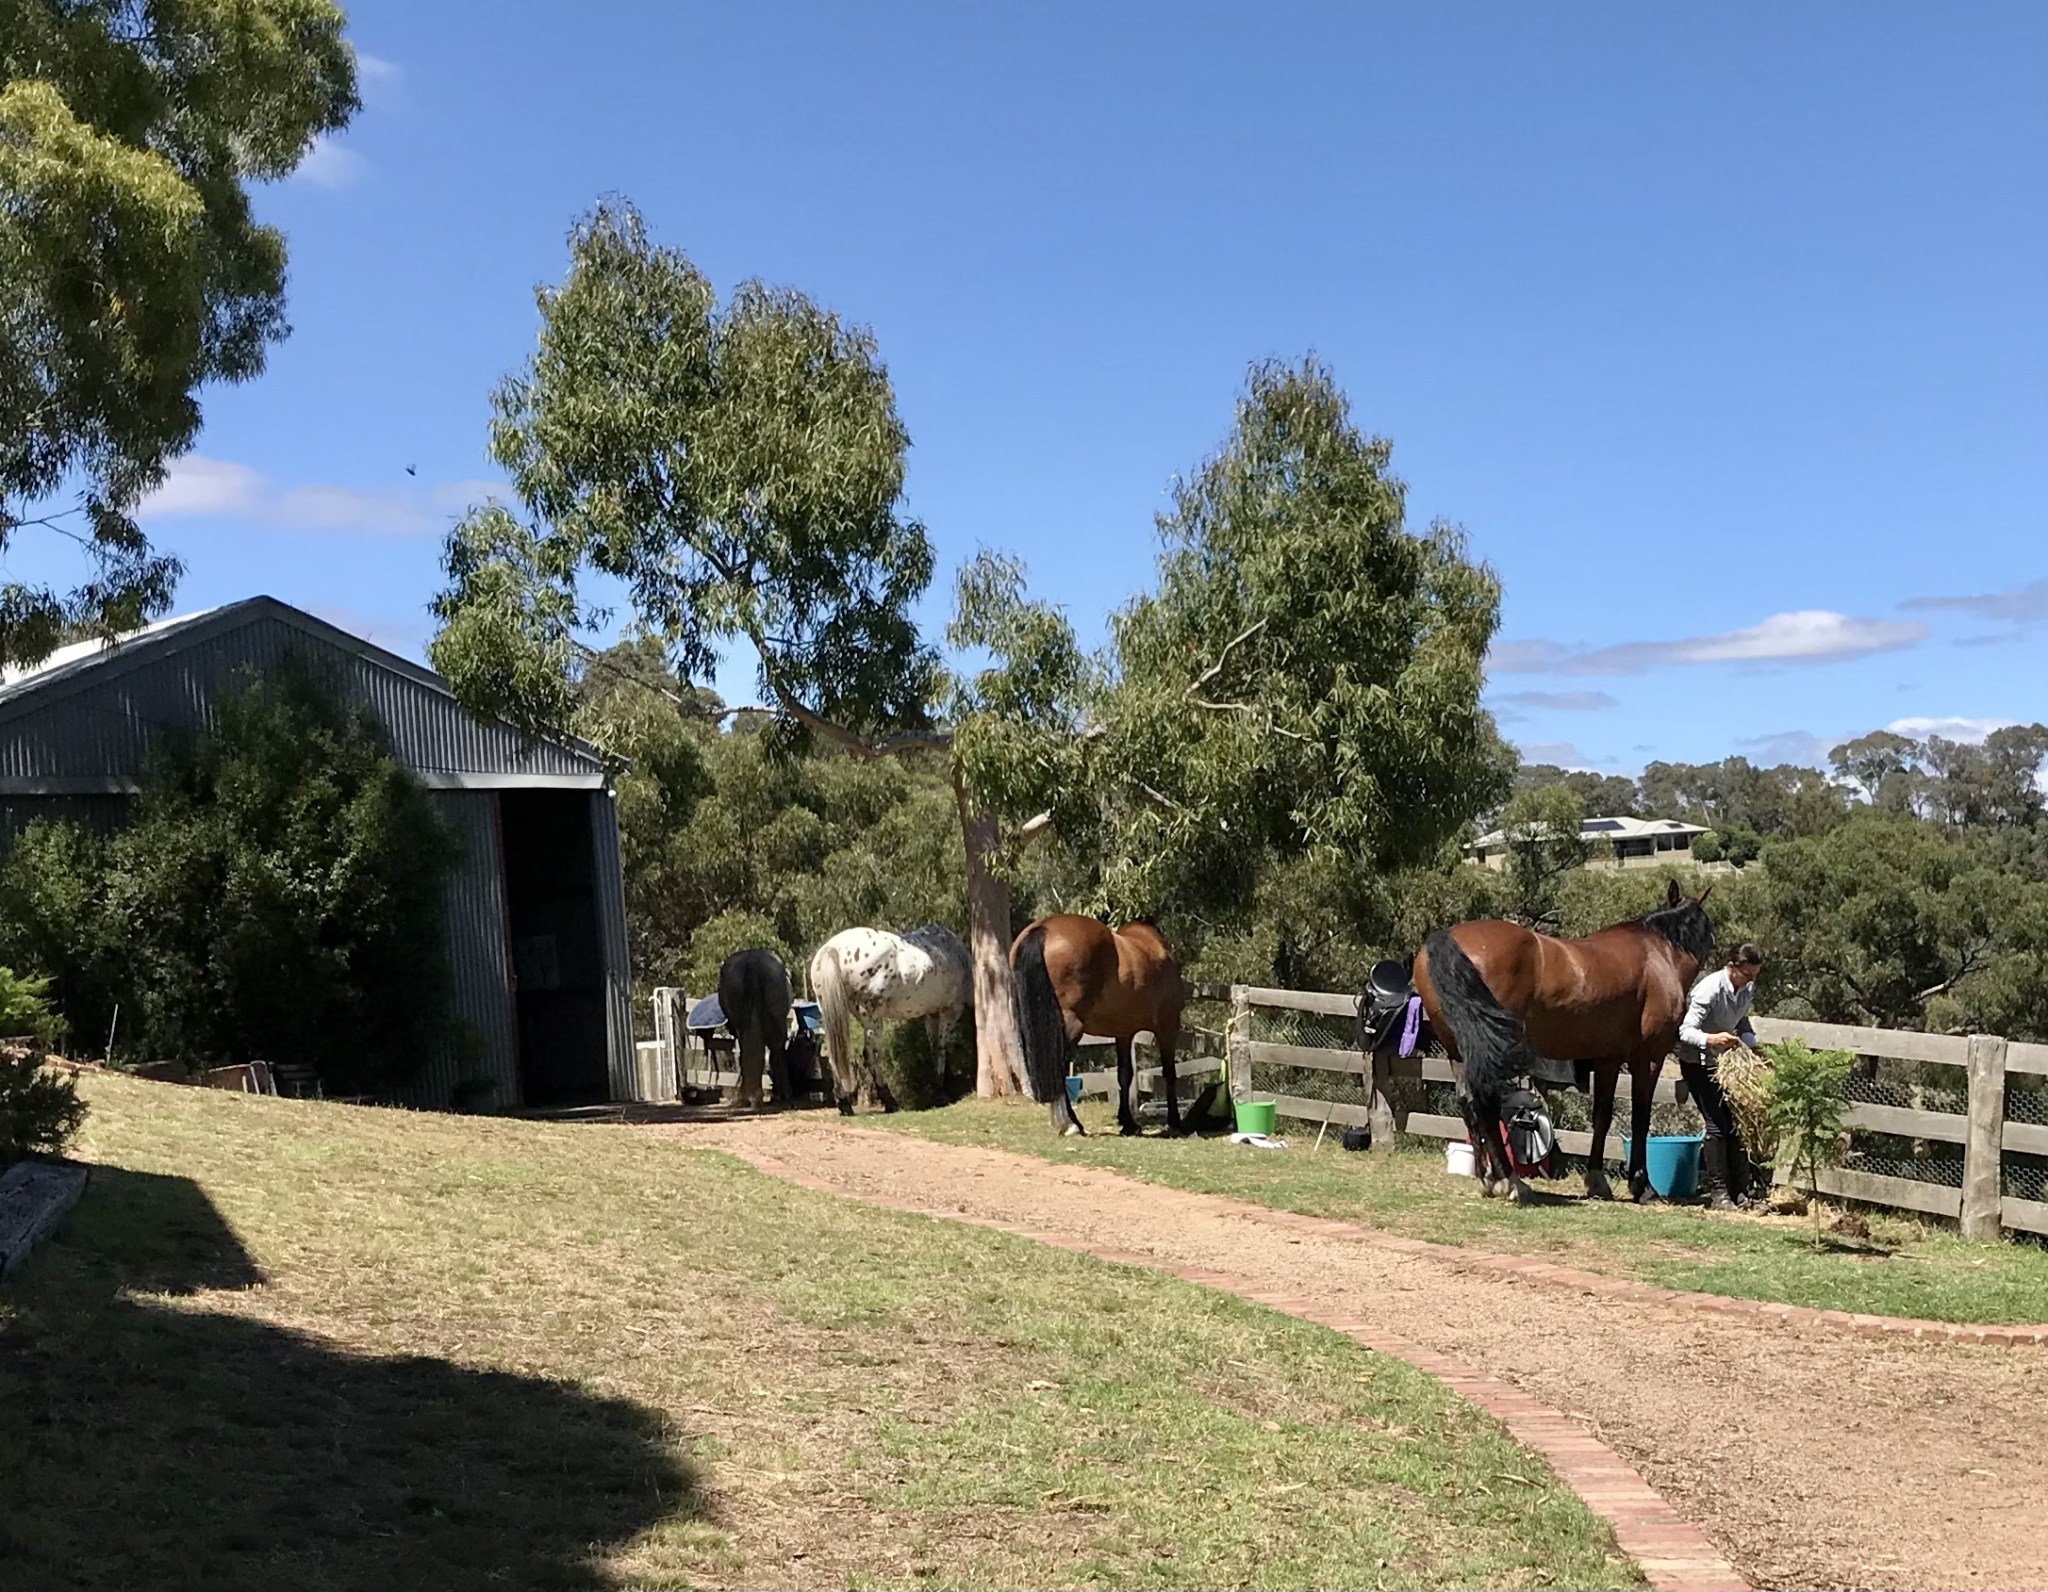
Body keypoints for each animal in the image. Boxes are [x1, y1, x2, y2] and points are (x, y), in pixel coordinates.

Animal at [807, 924, 973, 1114]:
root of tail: (834, 948)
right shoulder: (950, 1011)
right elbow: (941, 1048)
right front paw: (941, 1092)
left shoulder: (932, 1015)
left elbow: (934, 1047)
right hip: (872, 1019)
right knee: (870, 1055)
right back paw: (888, 1100)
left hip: (832, 1014)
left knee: (834, 1054)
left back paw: (844, 1103)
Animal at [1010, 914, 1188, 1137]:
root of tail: (1044, 929)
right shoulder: (1168, 1027)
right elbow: (1169, 1073)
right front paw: (1175, 1122)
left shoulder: (1124, 1033)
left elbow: (1124, 1075)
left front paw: (1128, 1123)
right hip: (1071, 1027)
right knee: (1058, 1068)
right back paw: (1071, 1125)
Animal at [1414, 880, 1715, 1206]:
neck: (1659, 954)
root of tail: (1448, 938)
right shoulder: (1648, 1057)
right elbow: (1640, 1118)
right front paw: (1642, 1186)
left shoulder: (1608, 1058)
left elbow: (1603, 1115)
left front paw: (1597, 1181)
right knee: (1487, 1105)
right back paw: (1512, 1182)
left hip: (1459, 1052)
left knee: (1469, 1106)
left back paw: (1488, 1180)